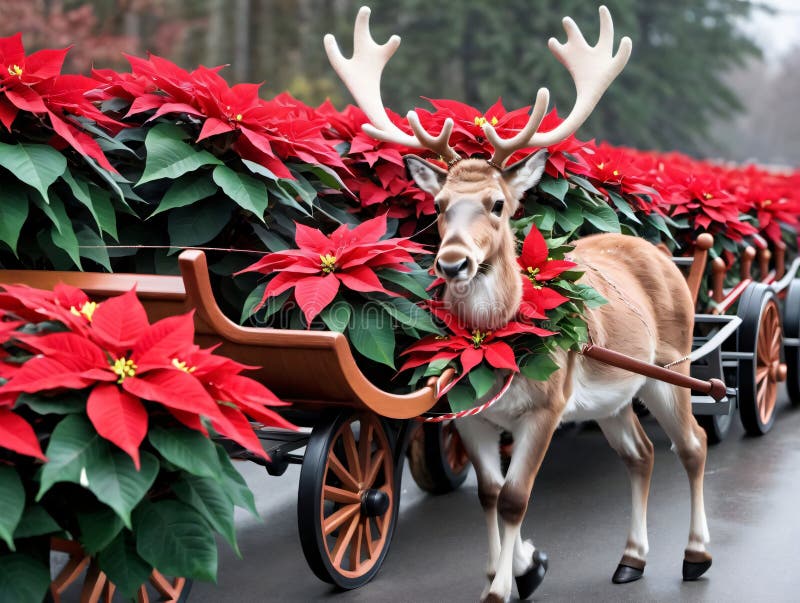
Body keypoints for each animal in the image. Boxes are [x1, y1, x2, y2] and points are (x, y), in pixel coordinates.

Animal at [326, 6, 712, 601]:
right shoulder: (467, 412)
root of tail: (664, 255)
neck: (495, 340)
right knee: (641, 453)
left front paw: (504, 585)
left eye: (497, 204)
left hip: (673, 366)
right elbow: (489, 493)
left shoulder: (547, 406)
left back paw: (695, 555)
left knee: (693, 444)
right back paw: (631, 559)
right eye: (439, 204)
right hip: (614, 396)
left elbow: (514, 497)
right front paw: (520, 567)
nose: (453, 262)